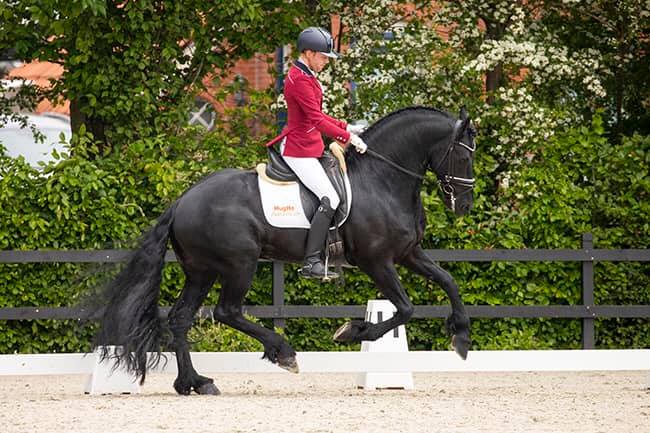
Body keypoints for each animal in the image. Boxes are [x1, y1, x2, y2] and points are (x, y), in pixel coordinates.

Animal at [93, 106, 477, 395]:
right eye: (462, 155)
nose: (464, 206)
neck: (381, 180)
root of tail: (182, 201)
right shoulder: (376, 261)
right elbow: (406, 308)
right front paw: (354, 332)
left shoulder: (408, 253)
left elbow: (448, 281)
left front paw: (460, 336)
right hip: (240, 263)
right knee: (227, 312)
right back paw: (282, 352)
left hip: (202, 270)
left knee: (182, 318)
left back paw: (195, 383)